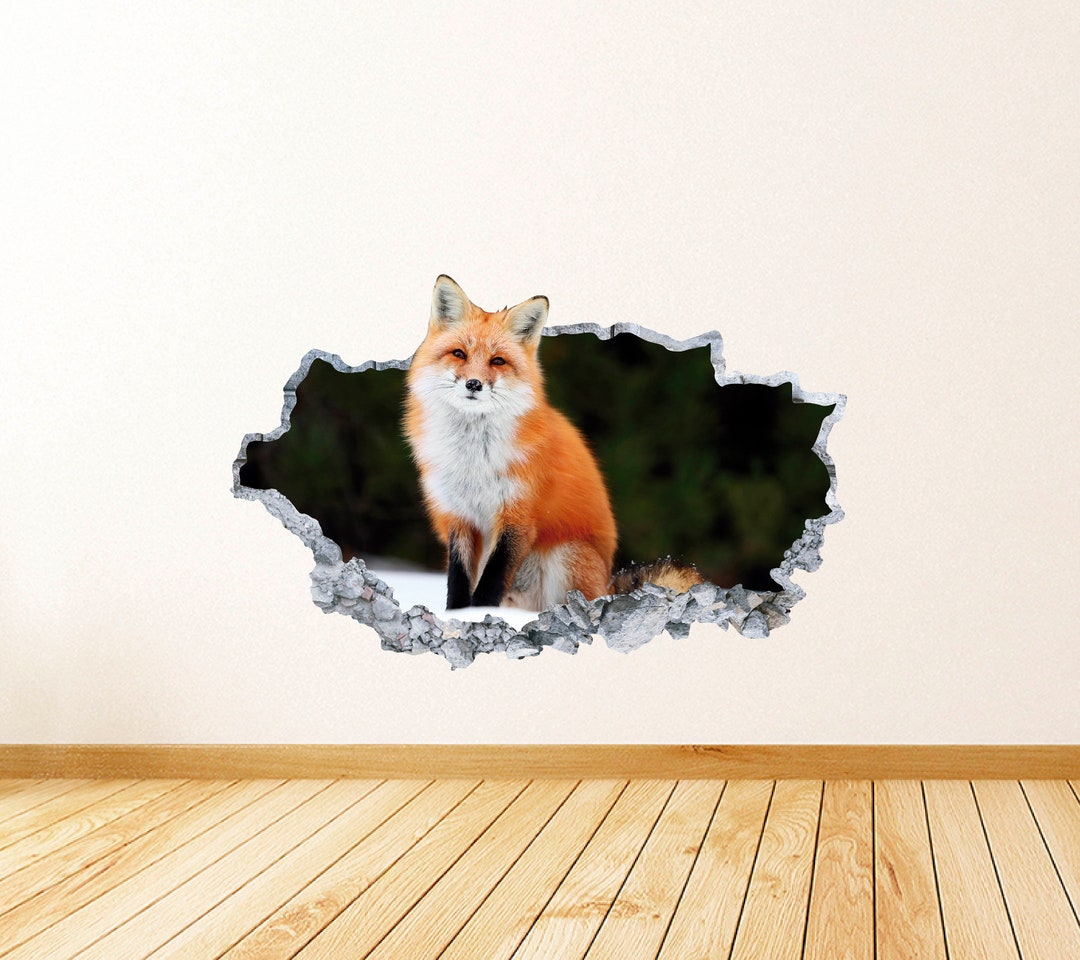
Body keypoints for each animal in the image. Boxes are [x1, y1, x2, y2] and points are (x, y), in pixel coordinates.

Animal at [404, 275, 704, 611]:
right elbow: (458, 582)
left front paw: (478, 614)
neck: (473, 460)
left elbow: (491, 582)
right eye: (459, 354)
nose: (474, 384)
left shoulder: (518, 517)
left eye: (498, 361)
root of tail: (607, 586)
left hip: (567, 555)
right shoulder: (458, 516)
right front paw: (457, 615)